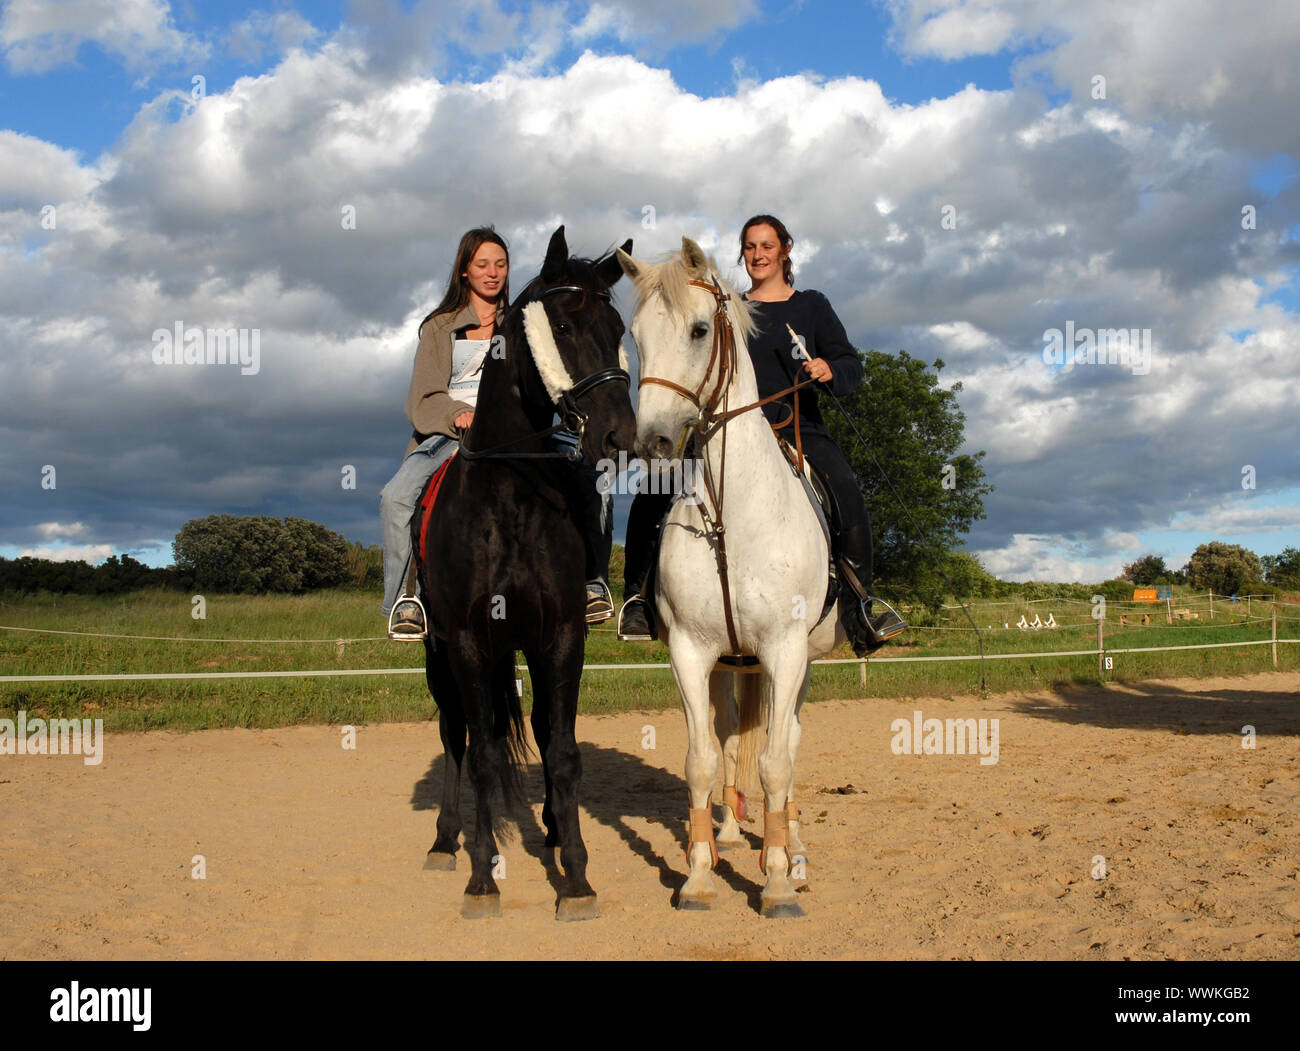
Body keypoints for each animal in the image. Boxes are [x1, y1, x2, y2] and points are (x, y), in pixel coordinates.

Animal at [418, 226, 636, 920]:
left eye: (619, 325)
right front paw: (483, 878)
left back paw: (551, 831)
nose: (621, 435)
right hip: (440, 658)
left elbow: (561, 751)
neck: (510, 498)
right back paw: (446, 842)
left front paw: (577, 876)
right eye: (564, 325)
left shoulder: (560, 636)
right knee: (457, 737)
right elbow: (485, 754)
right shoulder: (467, 642)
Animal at [618, 238, 845, 917]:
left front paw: (776, 881)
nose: (653, 443)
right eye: (635, 335)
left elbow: (775, 762)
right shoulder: (693, 652)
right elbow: (701, 757)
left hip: (795, 664)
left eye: (699, 330)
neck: (732, 515)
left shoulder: (785, 649)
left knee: (787, 742)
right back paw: (726, 834)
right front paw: (697, 875)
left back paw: (792, 852)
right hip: (729, 664)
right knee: (727, 739)